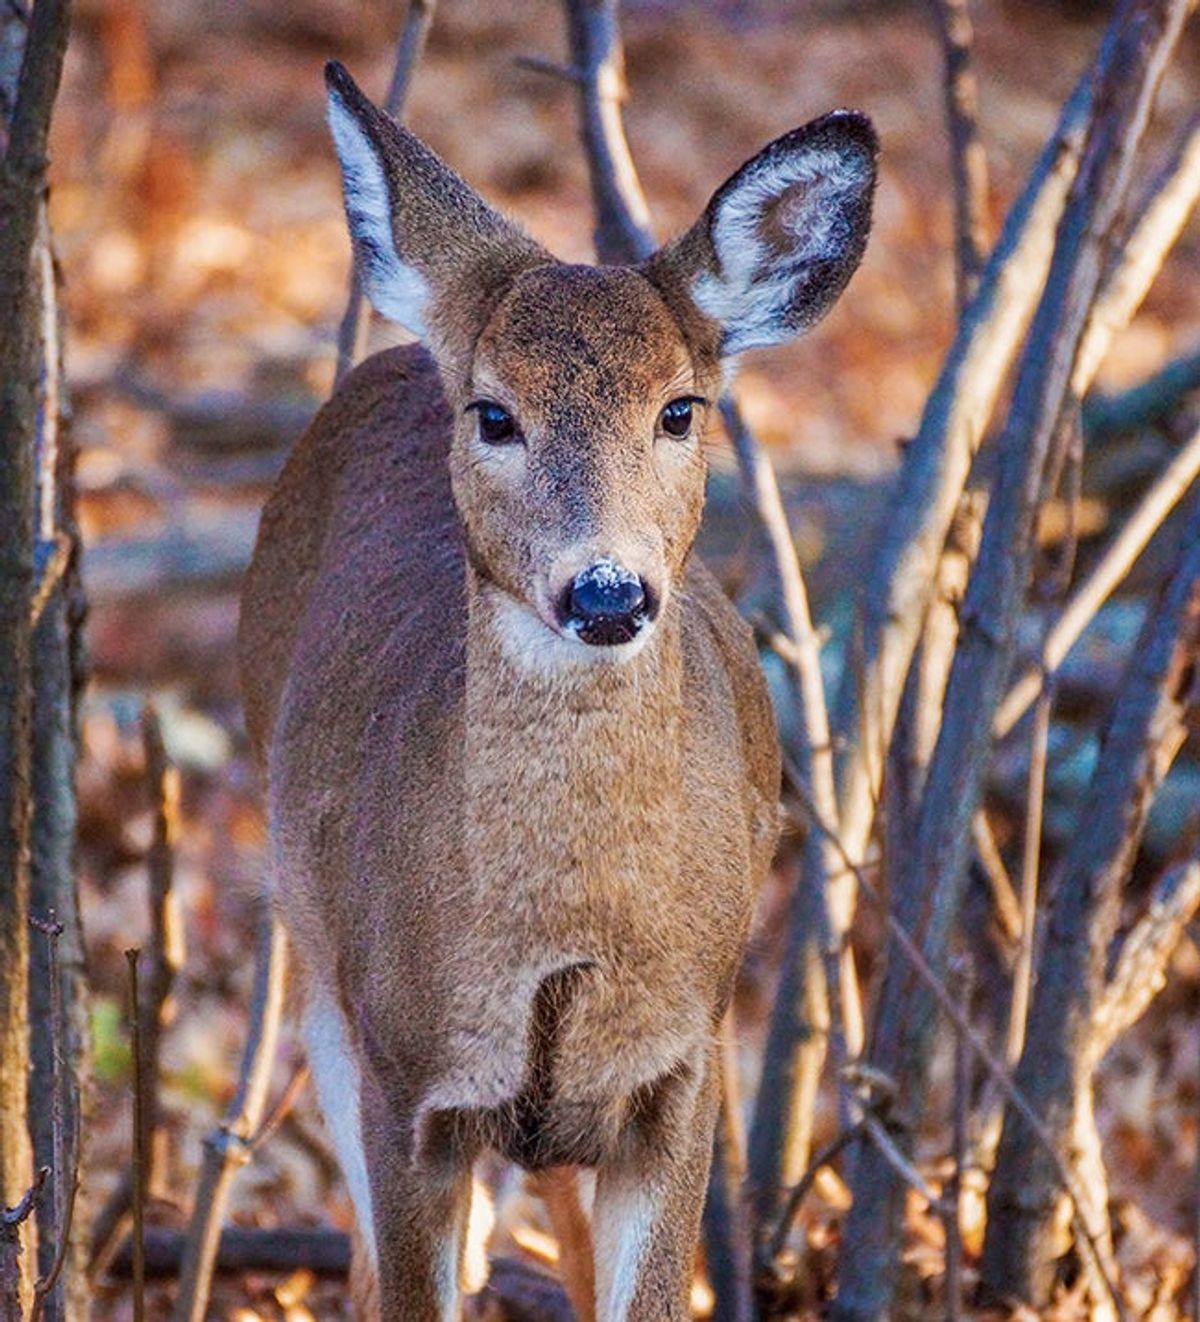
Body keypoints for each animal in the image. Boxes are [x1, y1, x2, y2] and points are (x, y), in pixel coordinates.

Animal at [238, 58, 875, 1322]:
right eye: (495, 414)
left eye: (680, 409)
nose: (607, 589)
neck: (564, 936)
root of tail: (401, 351)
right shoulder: (402, 1071)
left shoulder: (683, 1064)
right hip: (321, 981)